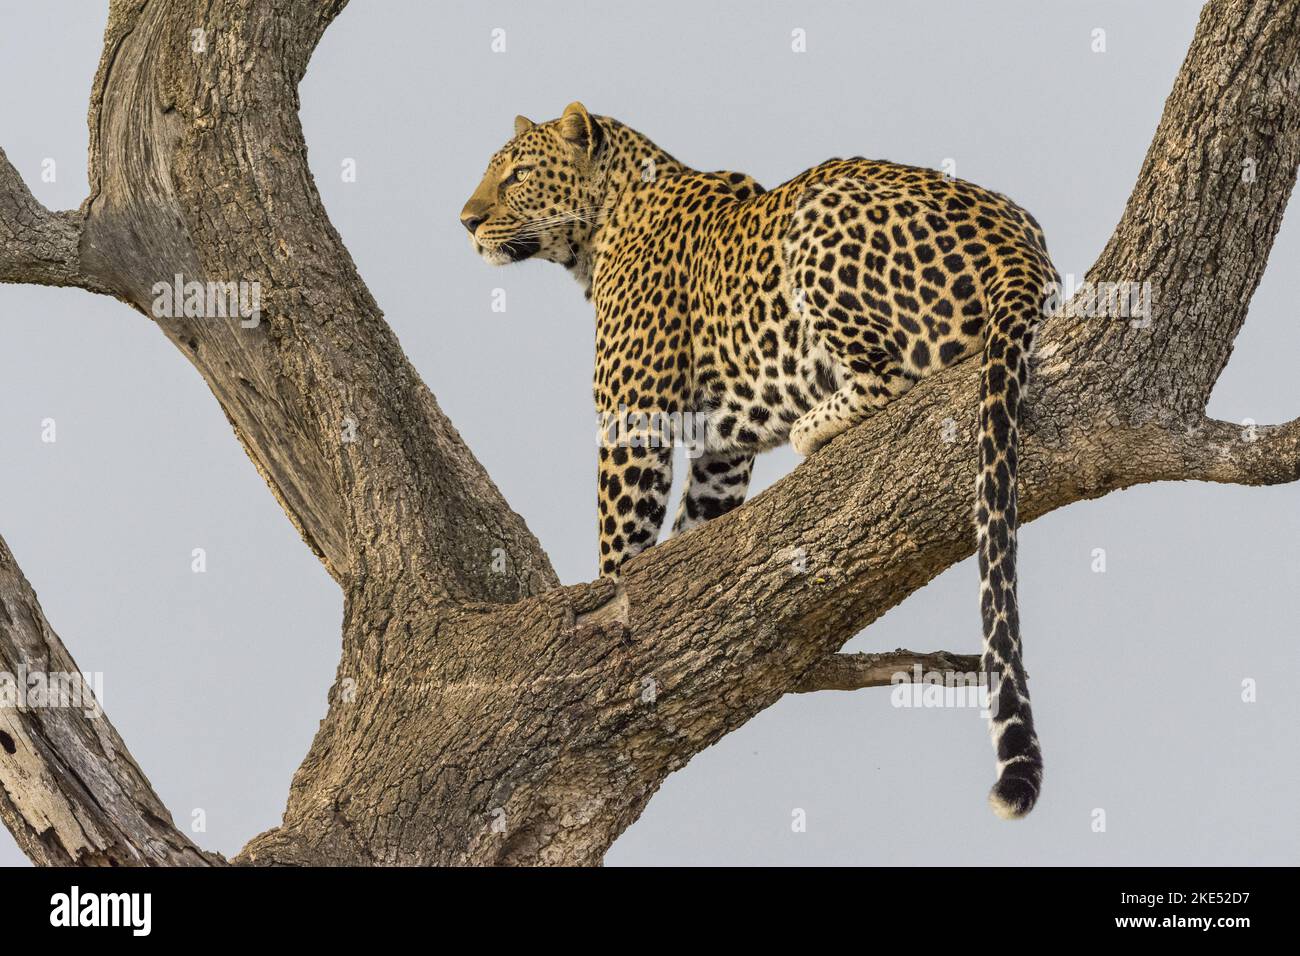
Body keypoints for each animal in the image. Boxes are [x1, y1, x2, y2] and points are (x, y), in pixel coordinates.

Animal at [461, 103, 1057, 819]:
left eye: (518, 173)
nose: (465, 221)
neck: (604, 223)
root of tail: (1017, 244)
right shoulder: (720, 454)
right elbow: (693, 527)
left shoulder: (634, 419)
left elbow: (618, 542)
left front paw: (605, 612)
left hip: (820, 218)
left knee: (899, 372)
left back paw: (813, 425)